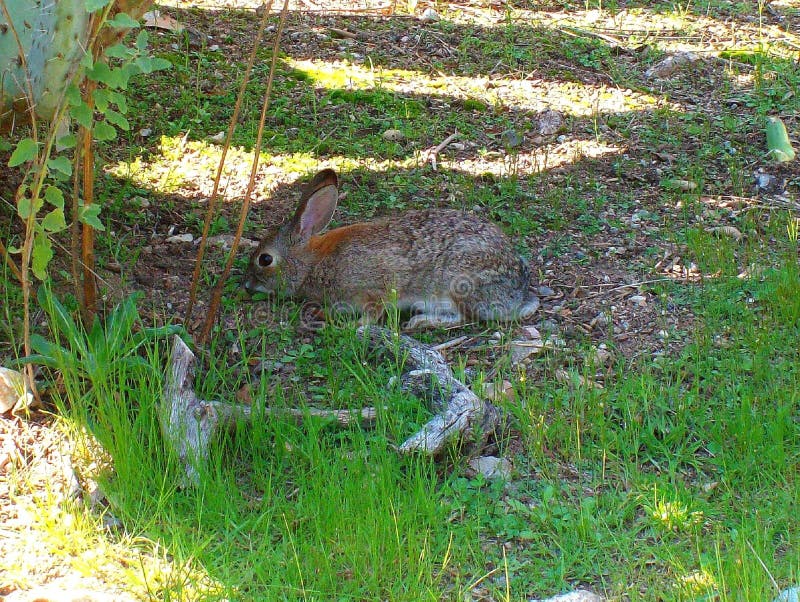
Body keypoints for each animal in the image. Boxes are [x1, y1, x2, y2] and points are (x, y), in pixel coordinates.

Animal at [244, 168, 539, 329]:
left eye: (265, 260)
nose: (246, 285)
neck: (312, 264)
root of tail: (518, 288)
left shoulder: (373, 290)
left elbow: (373, 313)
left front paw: (353, 325)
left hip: (458, 285)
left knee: (464, 318)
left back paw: (420, 322)